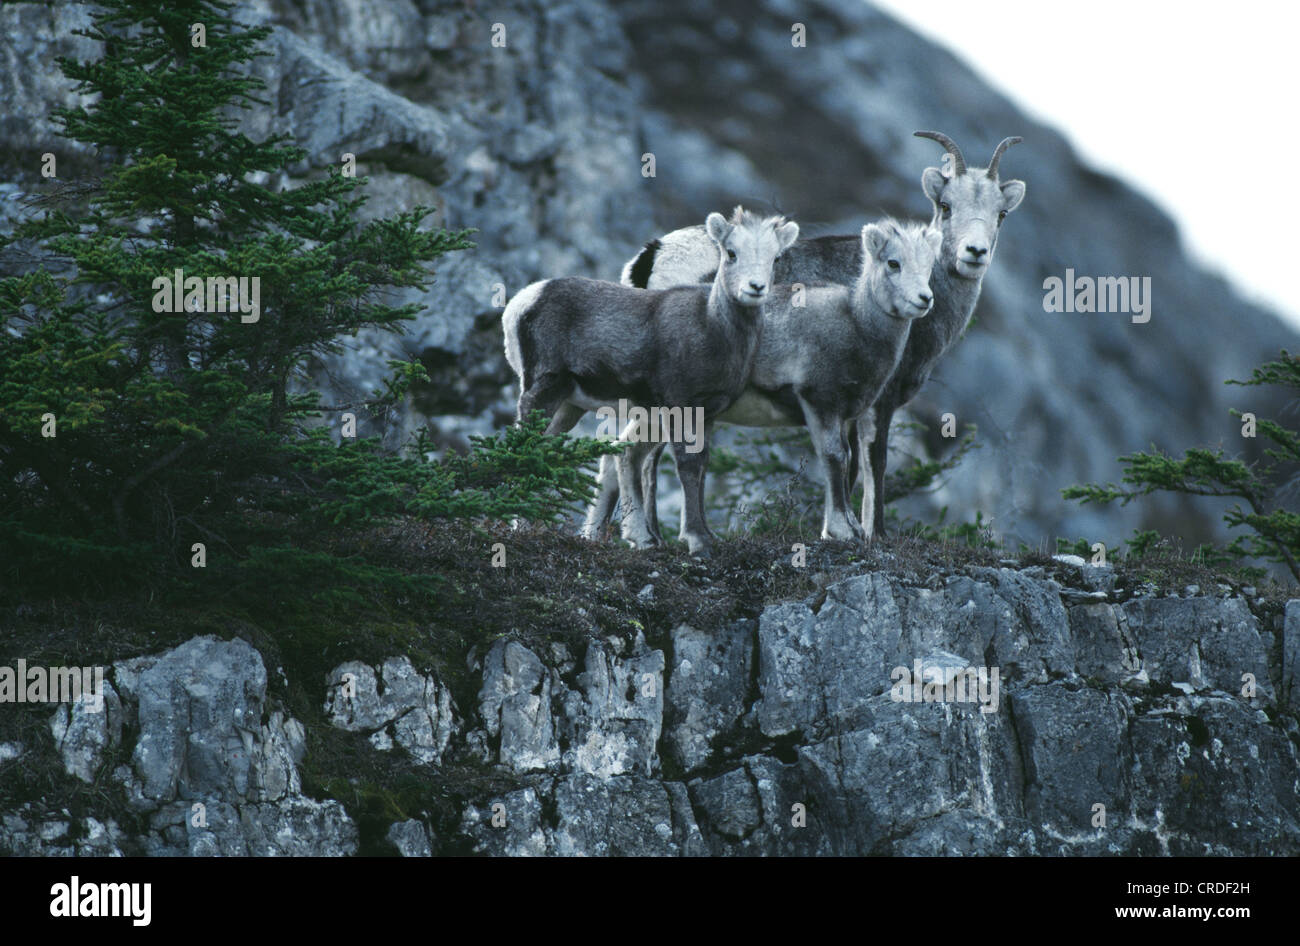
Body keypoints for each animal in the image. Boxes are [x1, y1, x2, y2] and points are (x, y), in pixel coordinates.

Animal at [502, 206, 799, 556]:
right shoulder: (680, 407)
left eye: (775, 257)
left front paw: (705, 535)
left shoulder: (708, 414)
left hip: (568, 405)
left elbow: (702, 465)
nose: (755, 287)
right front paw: (697, 541)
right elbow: (687, 465)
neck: (712, 329)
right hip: (540, 391)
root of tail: (519, 306)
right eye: (731, 252)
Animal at [593, 131, 1024, 540]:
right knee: (647, 458)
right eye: (946, 206)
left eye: (1001, 214)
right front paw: (870, 533)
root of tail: (652, 256)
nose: (974, 252)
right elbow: (871, 462)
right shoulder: (872, 400)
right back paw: (652, 535)